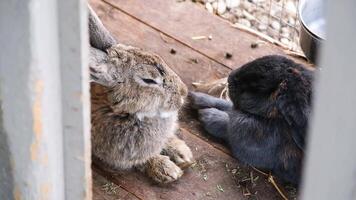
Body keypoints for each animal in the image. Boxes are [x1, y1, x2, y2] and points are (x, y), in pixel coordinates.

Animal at [191, 55, 312, 186]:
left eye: (257, 86)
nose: (230, 77)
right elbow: (227, 106)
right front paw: (195, 98)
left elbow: (231, 124)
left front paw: (207, 115)